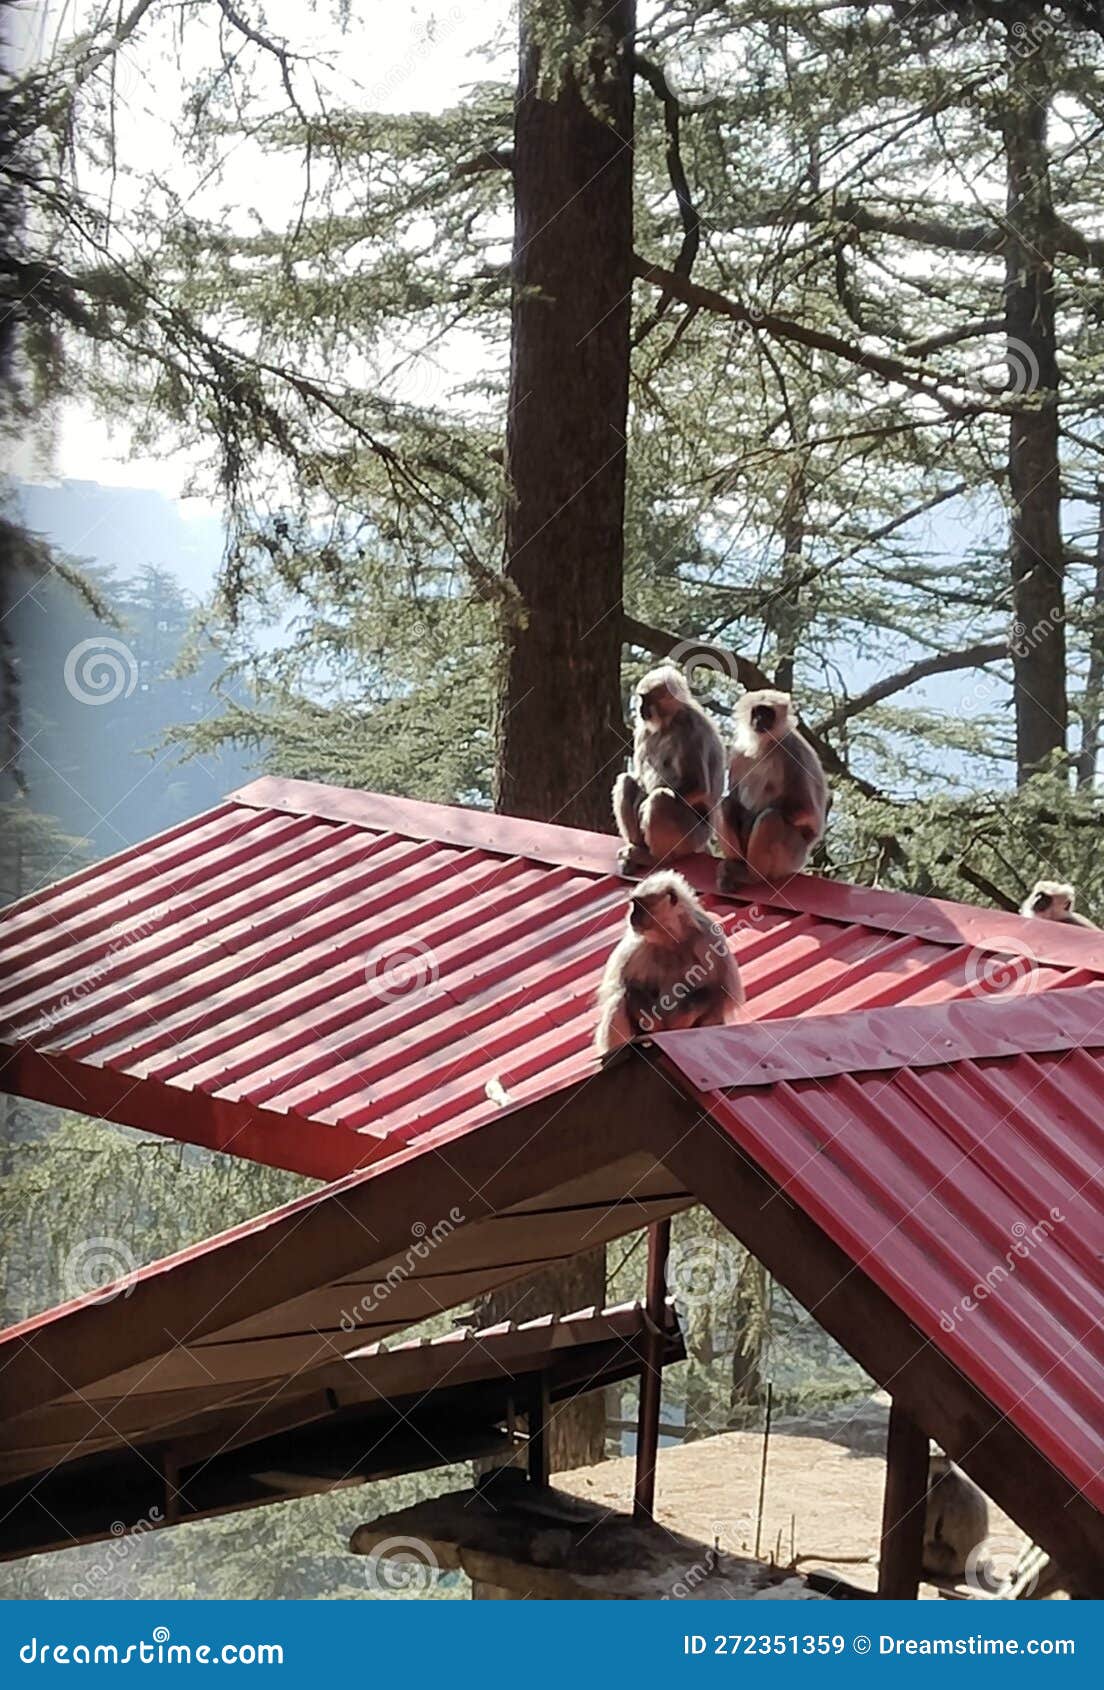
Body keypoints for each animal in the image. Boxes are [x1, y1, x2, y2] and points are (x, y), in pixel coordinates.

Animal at [594, 870, 744, 1056]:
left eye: (640, 906)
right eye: (634, 905)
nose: (632, 917)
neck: (669, 940)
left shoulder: (708, 938)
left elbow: (722, 990)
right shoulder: (636, 946)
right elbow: (621, 987)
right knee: (621, 996)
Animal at [612, 665, 725, 875]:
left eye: (646, 699)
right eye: (641, 698)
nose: (640, 709)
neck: (668, 723)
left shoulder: (689, 727)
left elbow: (698, 785)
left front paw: (643, 806)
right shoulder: (643, 730)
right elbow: (638, 778)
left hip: (692, 837)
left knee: (660, 798)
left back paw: (655, 858)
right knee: (627, 781)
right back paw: (638, 849)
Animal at [714, 689, 828, 892]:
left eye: (767, 713)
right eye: (757, 712)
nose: (759, 720)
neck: (765, 746)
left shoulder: (792, 752)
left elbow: (807, 811)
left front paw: (749, 820)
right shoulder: (739, 754)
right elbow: (734, 797)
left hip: (791, 857)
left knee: (770, 817)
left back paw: (752, 876)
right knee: (726, 804)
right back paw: (736, 865)